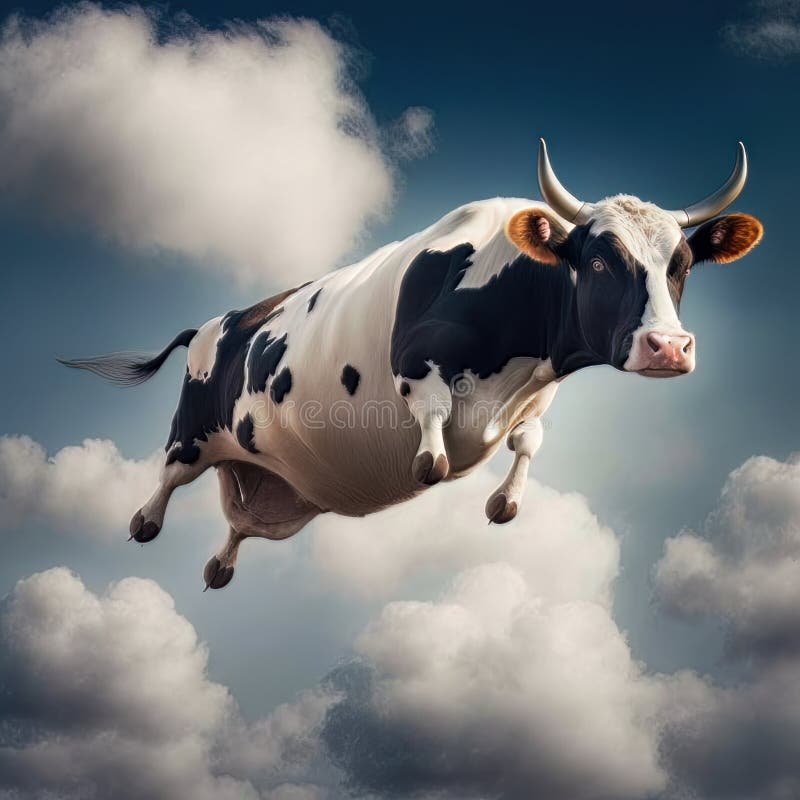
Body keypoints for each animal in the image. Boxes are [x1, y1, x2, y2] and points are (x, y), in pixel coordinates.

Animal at [61, 140, 763, 590]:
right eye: (596, 260)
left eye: (681, 265)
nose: (668, 347)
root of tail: (221, 320)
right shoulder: (413, 362)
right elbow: (431, 411)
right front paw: (431, 459)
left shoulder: (536, 396)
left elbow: (530, 440)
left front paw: (503, 501)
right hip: (194, 426)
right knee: (171, 472)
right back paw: (146, 519)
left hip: (277, 497)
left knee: (238, 527)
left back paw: (222, 564)